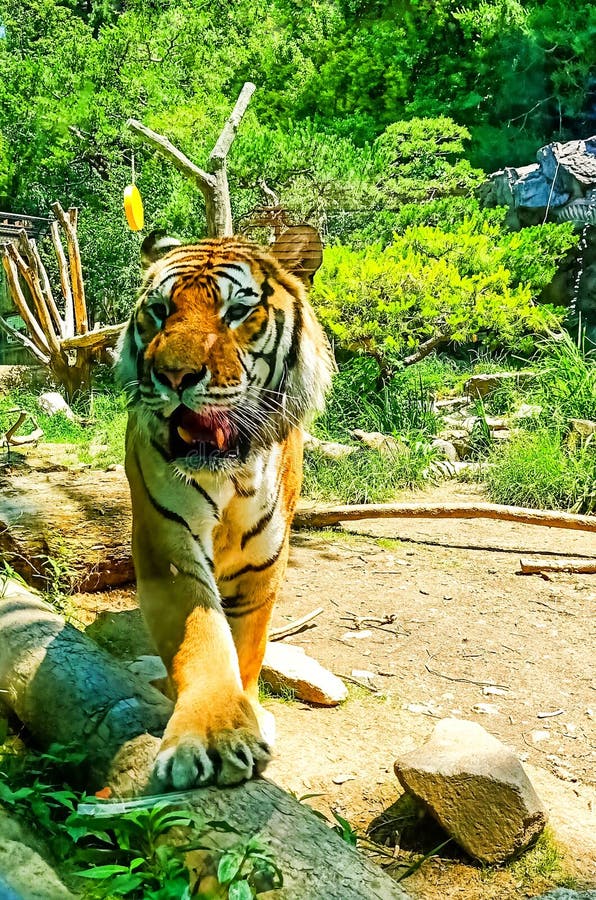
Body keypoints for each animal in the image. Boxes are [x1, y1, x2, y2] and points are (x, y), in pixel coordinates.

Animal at [116, 225, 334, 790]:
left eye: (237, 312)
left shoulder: (264, 562)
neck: (229, 472)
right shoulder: (169, 546)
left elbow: (247, 649)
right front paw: (214, 734)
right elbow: (204, 641)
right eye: (160, 311)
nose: (173, 377)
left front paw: (248, 713)